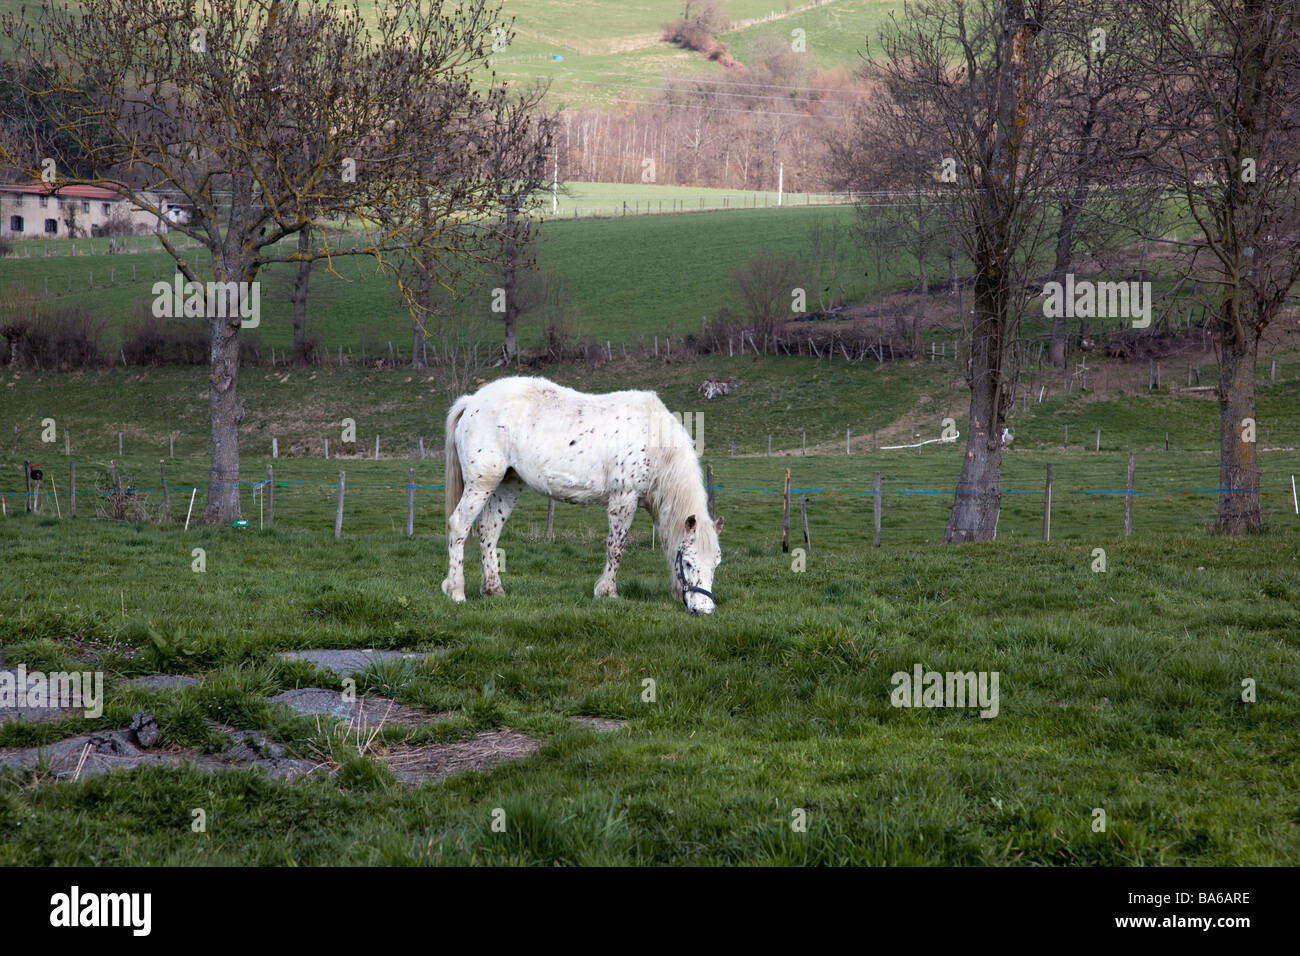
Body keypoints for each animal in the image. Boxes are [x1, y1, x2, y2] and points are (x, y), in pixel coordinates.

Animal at [441, 376, 722, 614]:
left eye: (716, 565)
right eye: (689, 563)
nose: (704, 610)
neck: (654, 440)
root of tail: (471, 402)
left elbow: (665, 543)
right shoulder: (624, 499)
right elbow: (616, 546)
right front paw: (607, 592)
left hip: (508, 484)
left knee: (488, 530)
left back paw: (493, 590)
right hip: (482, 482)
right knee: (459, 526)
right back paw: (456, 591)